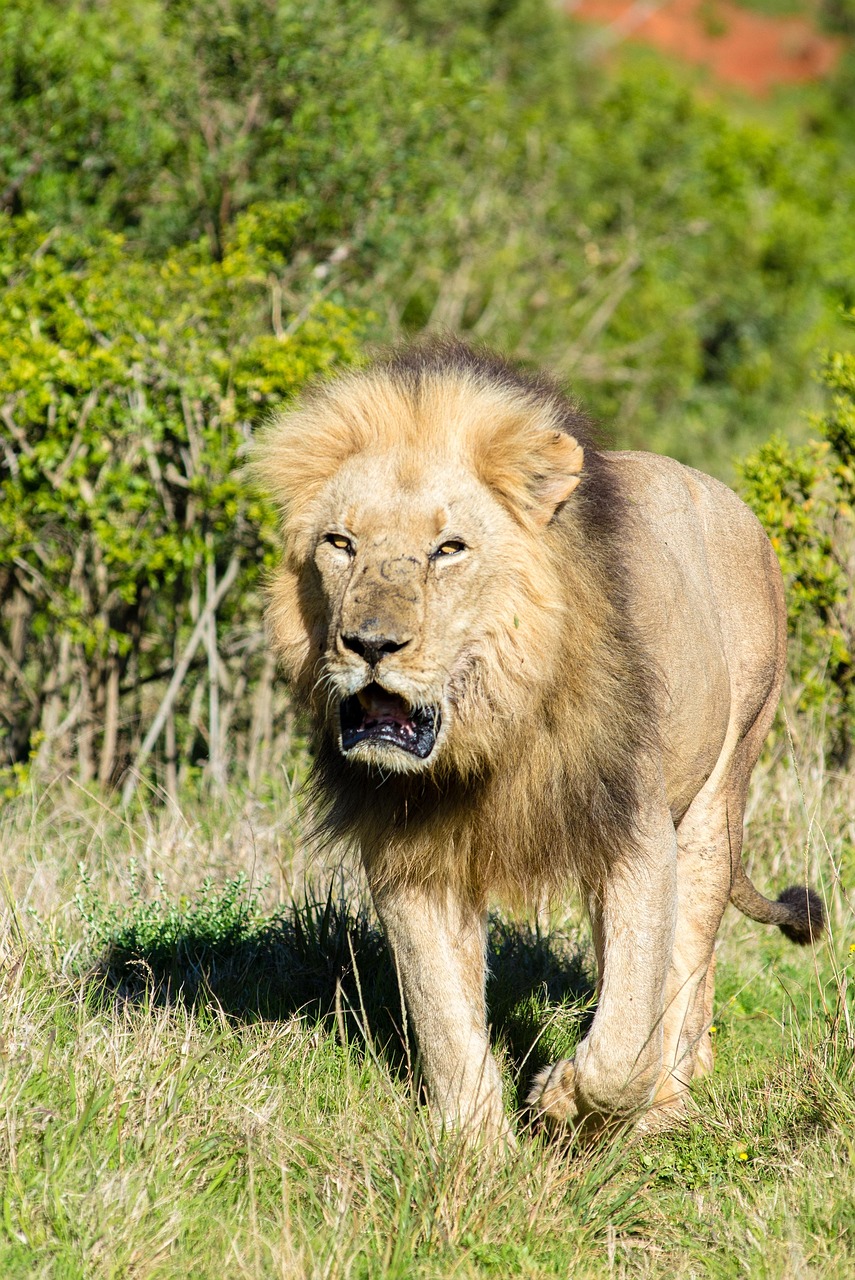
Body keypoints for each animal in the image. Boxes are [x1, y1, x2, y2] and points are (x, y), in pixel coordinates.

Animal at [255, 338, 824, 1142]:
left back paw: (669, 1100)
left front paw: (565, 1100)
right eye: (340, 543)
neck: (495, 730)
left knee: (686, 956)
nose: (369, 644)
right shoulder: (410, 855)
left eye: (448, 549)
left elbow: (626, 1032)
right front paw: (474, 1149)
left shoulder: (635, 830)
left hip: (720, 790)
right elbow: (443, 1014)